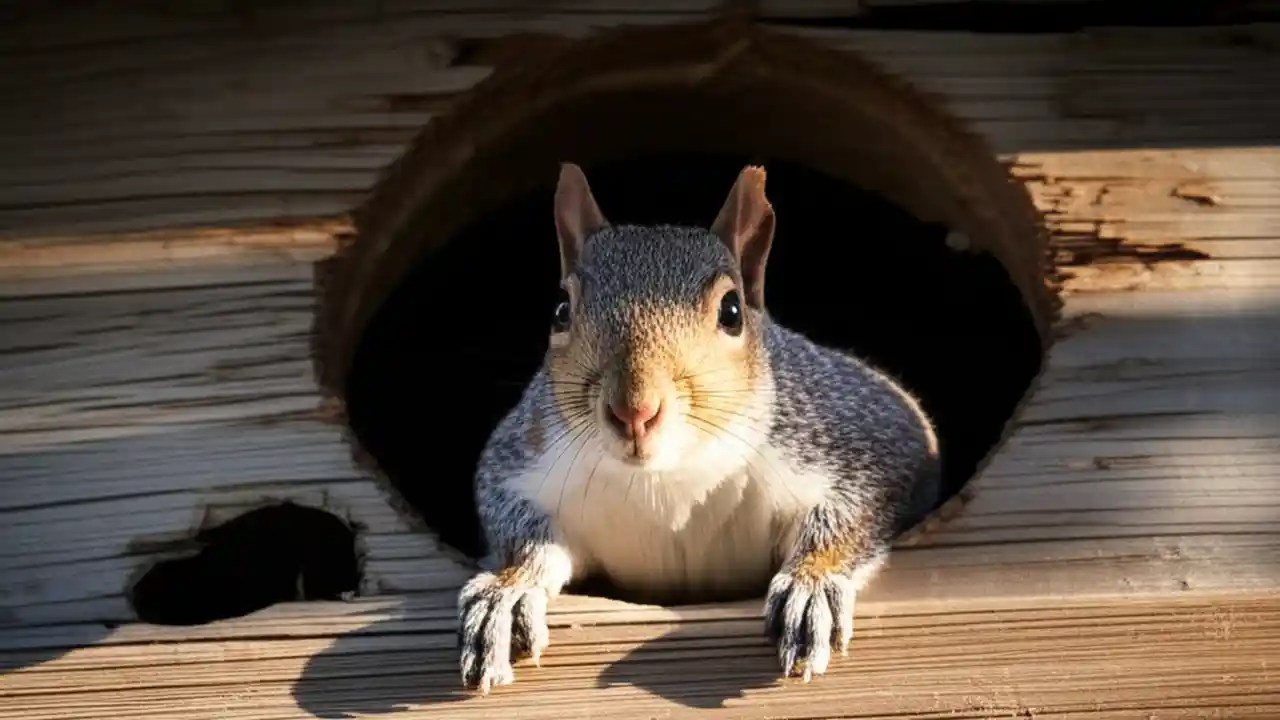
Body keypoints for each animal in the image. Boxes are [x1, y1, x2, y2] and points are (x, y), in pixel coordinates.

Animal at [458, 162, 941, 693]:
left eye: (732, 312)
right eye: (560, 310)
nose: (635, 410)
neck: (668, 478)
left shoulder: (862, 432)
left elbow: (853, 512)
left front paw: (812, 582)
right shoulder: (520, 458)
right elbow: (518, 532)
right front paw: (508, 590)